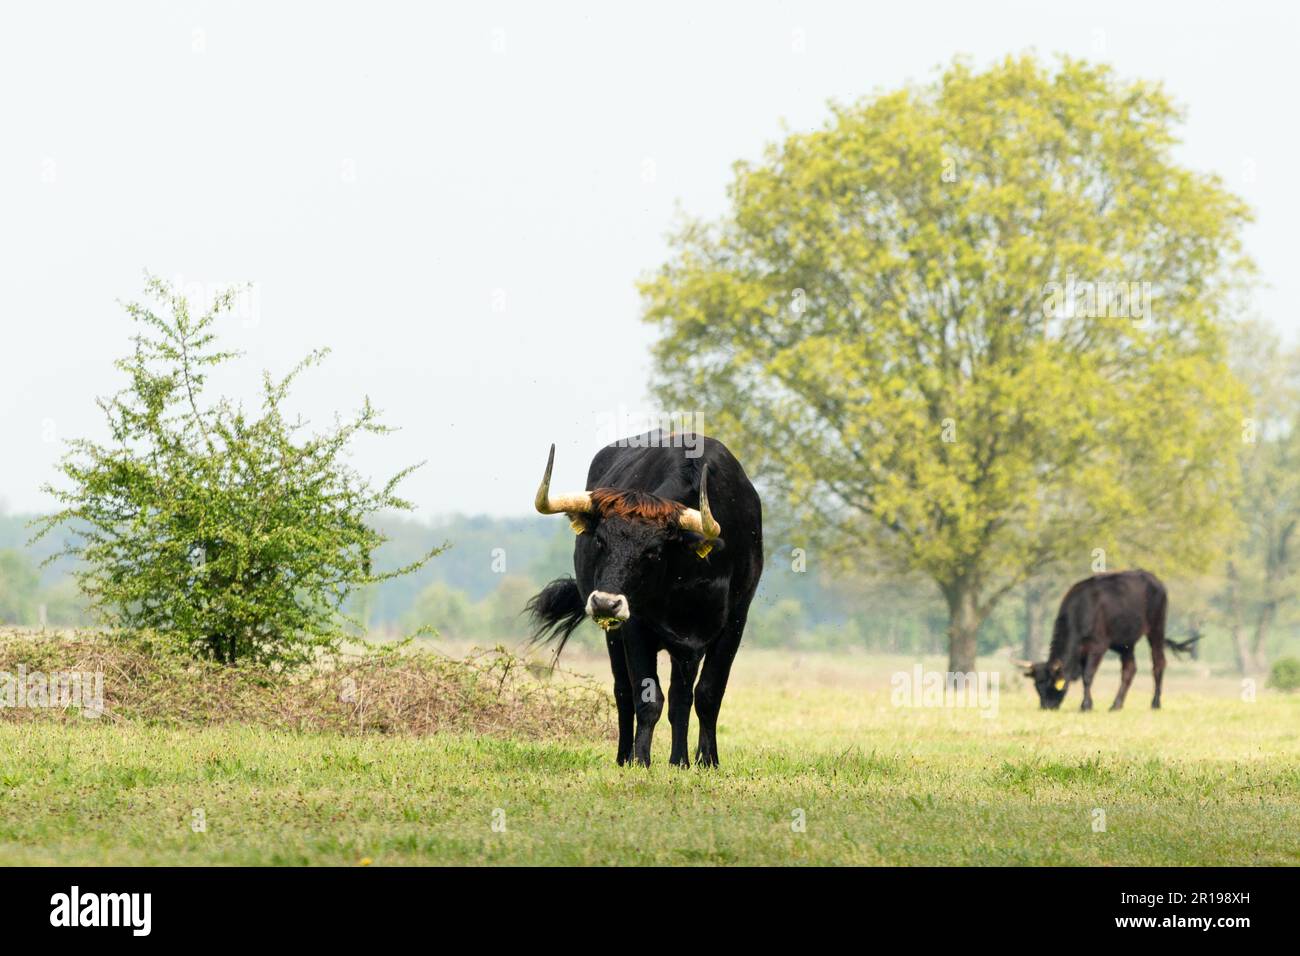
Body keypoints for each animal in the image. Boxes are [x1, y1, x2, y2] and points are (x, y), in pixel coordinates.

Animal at [525, 433, 763, 767]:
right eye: (601, 541)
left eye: (653, 551)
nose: (605, 603)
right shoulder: (635, 626)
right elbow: (646, 697)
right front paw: (640, 760)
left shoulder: (733, 624)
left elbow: (707, 694)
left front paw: (706, 761)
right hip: (616, 635)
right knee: (624, 691)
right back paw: (625, 756)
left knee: (681, 698)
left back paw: (680, 760)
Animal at [1016, 569, 1199, 711]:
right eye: (1037, 686)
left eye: (1051, 683)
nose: (1046, 706)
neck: (1081, 610)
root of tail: (1154, 579)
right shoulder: (1082, 650)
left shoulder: (1097, 646)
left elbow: (1087, 676)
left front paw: (1086, 706)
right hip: (1125, 643)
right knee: (1129, 670)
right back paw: (1116, 705)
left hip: (1156, 628)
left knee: (1158, 663)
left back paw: (1155, 703)